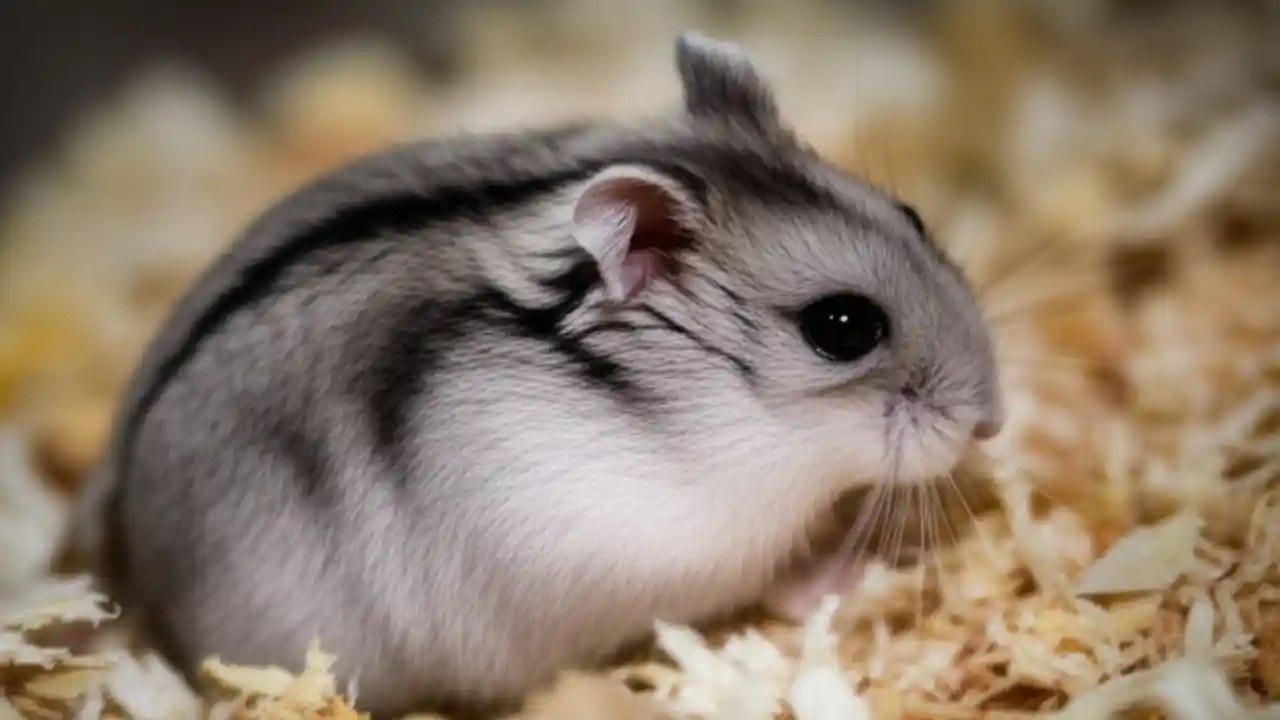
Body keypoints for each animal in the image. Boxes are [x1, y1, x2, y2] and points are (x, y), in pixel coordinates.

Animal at [79, 33, 1003, 717]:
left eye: (913, 215)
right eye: (843, 328)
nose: (991, 422)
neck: (693, 406)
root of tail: (121, 543)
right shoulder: (670, 556)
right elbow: (777, 578)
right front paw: (859, 570)